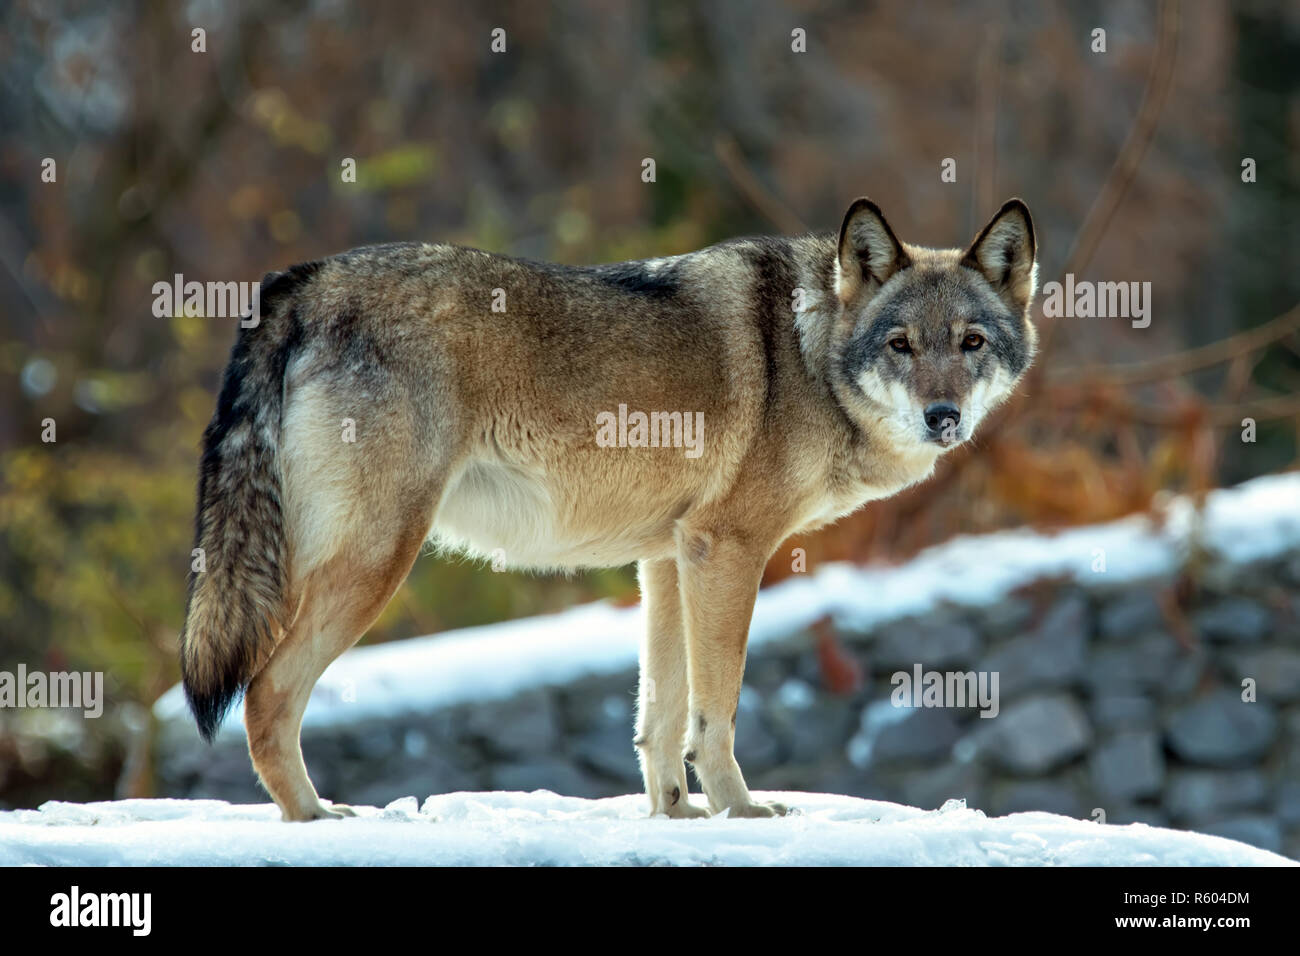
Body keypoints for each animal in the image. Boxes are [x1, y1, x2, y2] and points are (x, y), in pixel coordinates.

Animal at [180, 197, 1038, 821]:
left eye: (970, 343)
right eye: (900, 344)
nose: (942, 417)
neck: (808, 352)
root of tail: (301, 280)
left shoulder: (668, 559)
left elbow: (661, 717)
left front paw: (677, 817)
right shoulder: (727, 550)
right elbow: (715, 709)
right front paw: (743, 812)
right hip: (373, 563)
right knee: (267, 693)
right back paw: (316, 819)